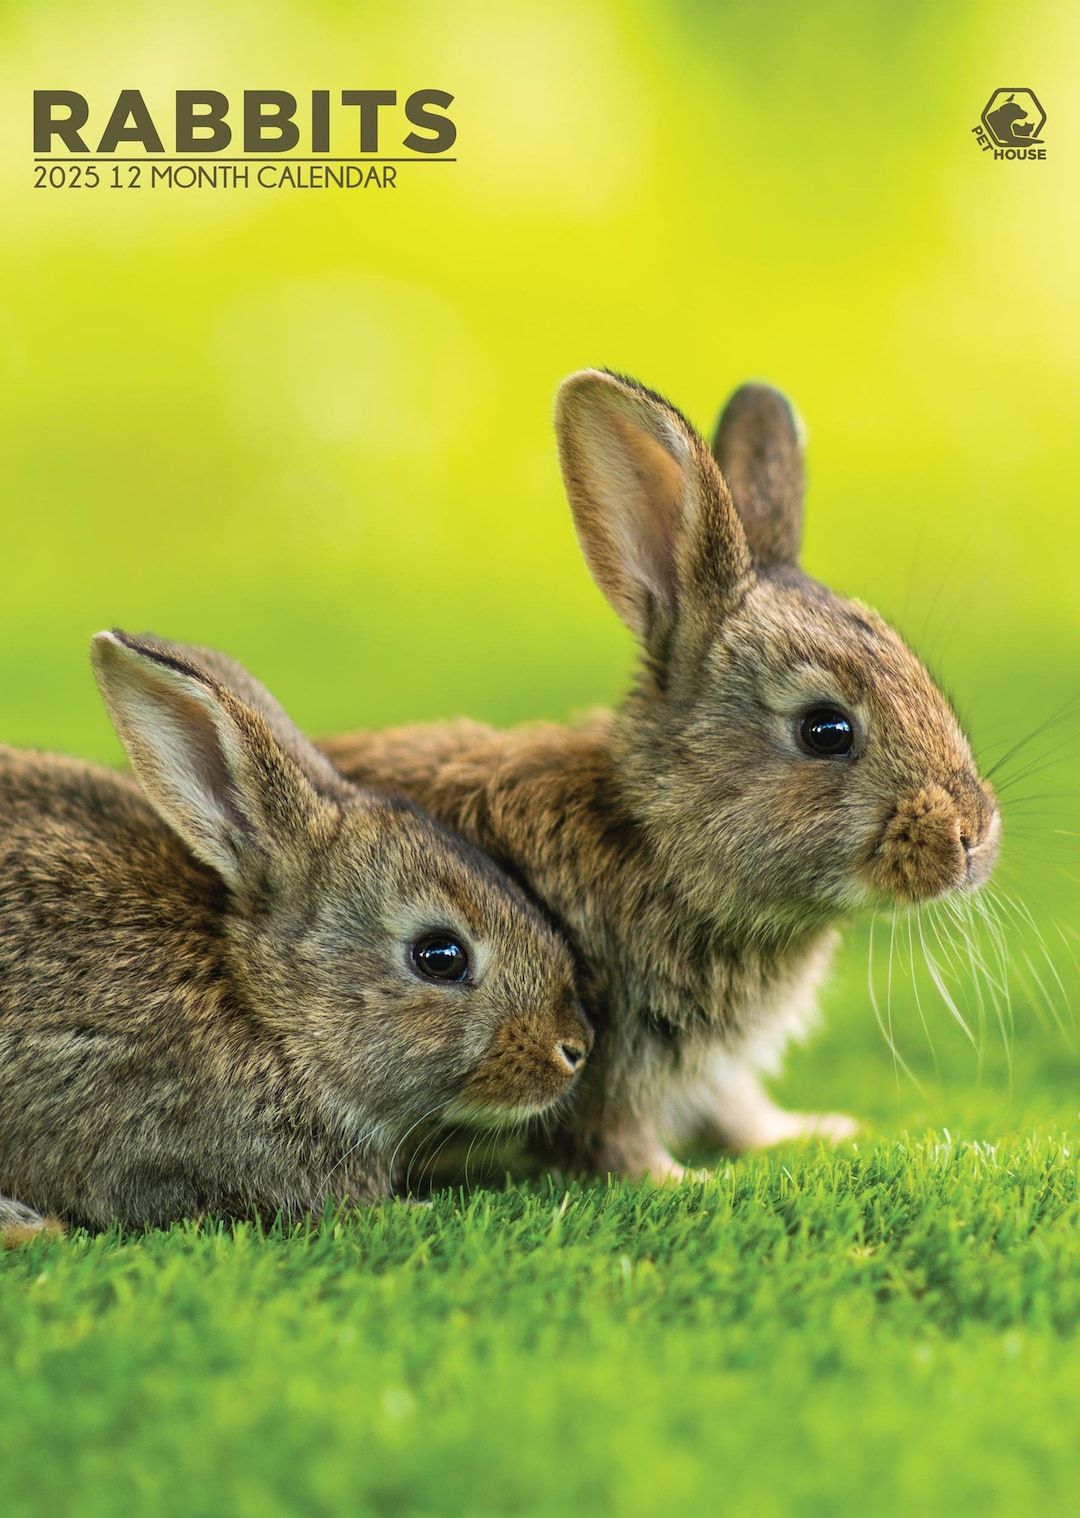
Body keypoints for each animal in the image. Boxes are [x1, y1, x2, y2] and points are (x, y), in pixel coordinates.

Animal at [318, 370, 1001, 1183]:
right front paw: (683, 1181)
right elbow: (612, 1138)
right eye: (826, 730)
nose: (973, 837)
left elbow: (733, 1106)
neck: (655, 836)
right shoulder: (604, 1055)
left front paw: (808, 1132)